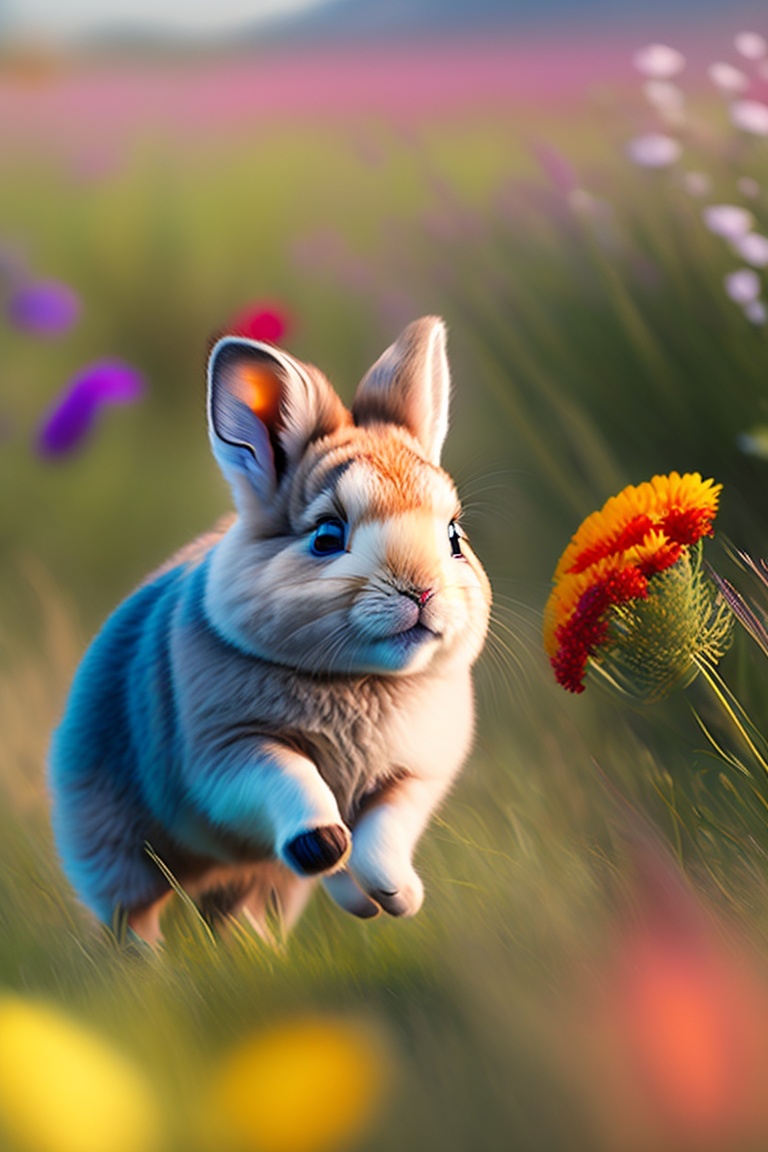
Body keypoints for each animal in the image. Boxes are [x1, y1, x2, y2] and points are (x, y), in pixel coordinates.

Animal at [48, 316, 492, 943]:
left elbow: (383, 834)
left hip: (263, 883)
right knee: (132, 914)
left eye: (453, 536)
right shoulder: (229, 754)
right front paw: (323, 842)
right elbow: (291, 781)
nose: (421, 591)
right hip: (111, 842)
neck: (356, 679)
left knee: (251, 906)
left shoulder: (414, 775)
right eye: (327, 537)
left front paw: (395, 894)